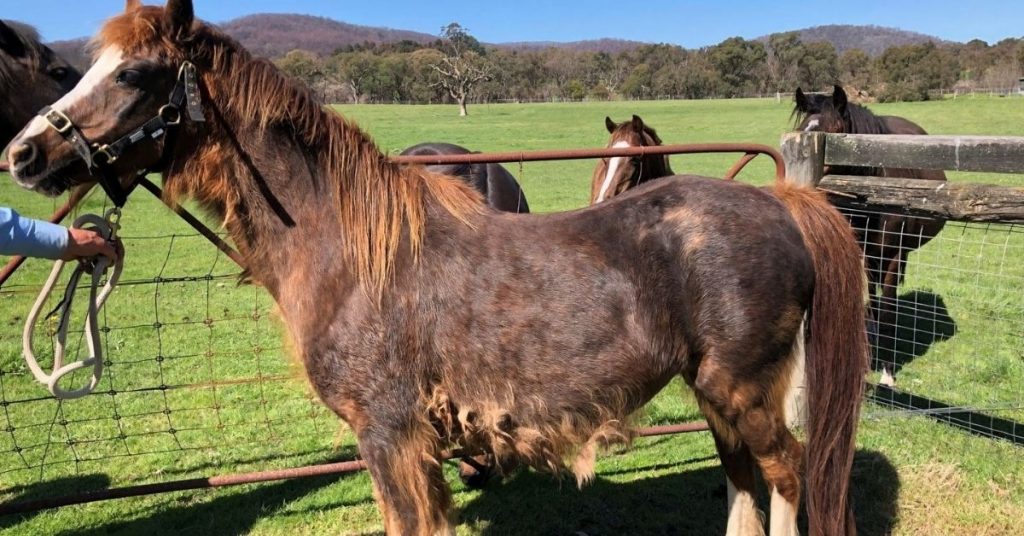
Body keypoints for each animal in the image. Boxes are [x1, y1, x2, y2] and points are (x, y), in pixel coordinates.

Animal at [794, 85, 947, 384]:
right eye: (802, 128)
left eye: (838, 132)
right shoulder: (864, 255)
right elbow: (874, 302)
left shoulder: (893, 256)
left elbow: (887, 312)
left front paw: (888, 371)